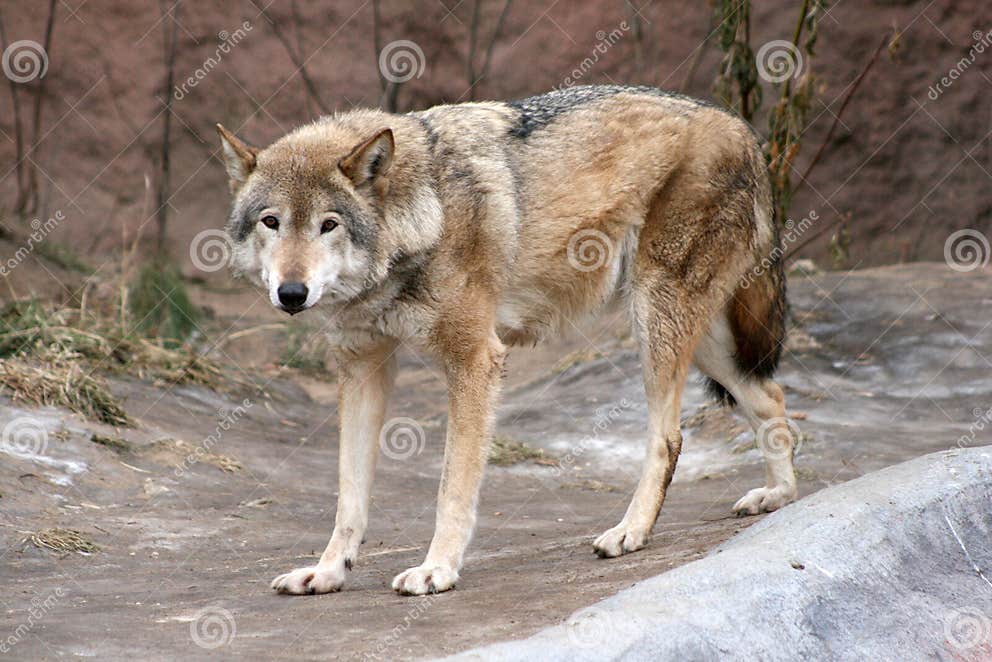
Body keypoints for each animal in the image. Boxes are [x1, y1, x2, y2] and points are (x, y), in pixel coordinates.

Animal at [215, 84, 796, 596]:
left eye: (328, 224)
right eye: (272, 222)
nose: (292, 293)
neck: (422, 216)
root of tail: (743, 128)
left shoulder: (475, 360)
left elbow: (452, 486)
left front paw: (436, 570)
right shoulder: (362, 368)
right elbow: (349, 496)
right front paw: (328, 572)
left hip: (656, 321)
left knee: (671, 437)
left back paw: (629, 533)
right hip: (698, 338)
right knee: (771, 397)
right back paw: (780, 496)